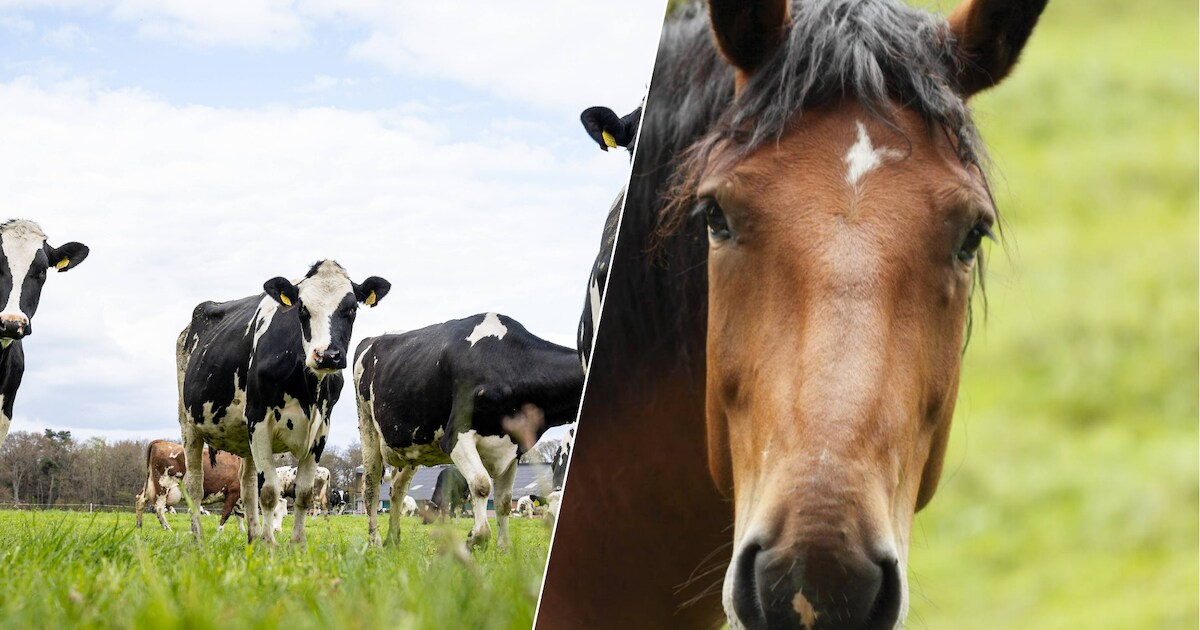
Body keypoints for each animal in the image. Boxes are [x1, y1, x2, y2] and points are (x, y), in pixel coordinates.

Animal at [178, 259, 390, 545]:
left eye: (352, 309)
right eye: (301, 308)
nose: (327, 355)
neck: (307, 388)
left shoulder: (321, 429)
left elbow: (303, 493)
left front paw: (296, 544)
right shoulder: (258, 421)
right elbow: (268, 493)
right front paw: (270, 545)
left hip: (244, 439)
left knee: (247, 488)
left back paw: (253, 538)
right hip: (189, 425)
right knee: (194, 486)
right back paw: (199, 539)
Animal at [355, 312, 584, 550]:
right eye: (550, 518)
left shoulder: (514, 449)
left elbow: (503, 501)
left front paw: (504, 549)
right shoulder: (456, 436)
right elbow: (481, 485)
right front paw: (475, 539)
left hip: (411, 447)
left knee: (397, 489)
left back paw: (393, 540)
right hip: (367, 425)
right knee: (371, 487)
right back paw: (375, 542)